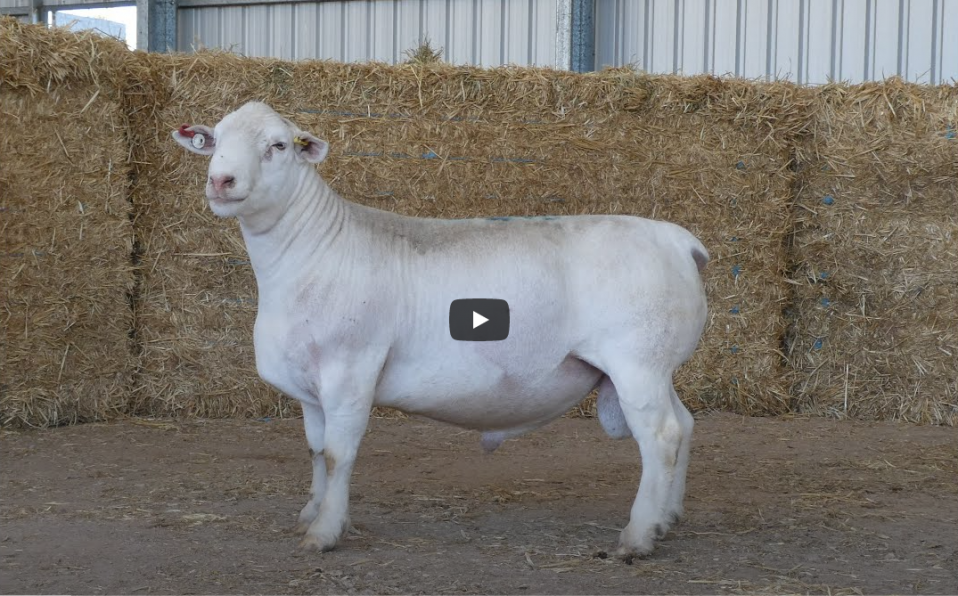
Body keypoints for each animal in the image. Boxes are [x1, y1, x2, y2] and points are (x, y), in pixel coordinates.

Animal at [173, 101, 709, 558]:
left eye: (278, 145)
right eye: (215, 139)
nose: (221, 180)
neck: (313, 248)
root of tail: (676, 239)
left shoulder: (351, 368)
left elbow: (338, 454)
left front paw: (325, 532)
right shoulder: (310, 384)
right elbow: (315, 449)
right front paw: (313, 512)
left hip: (636, 361)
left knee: (660, 435)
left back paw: (638, 536)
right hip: (657, 366)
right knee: (683, 425)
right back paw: (668, 518)